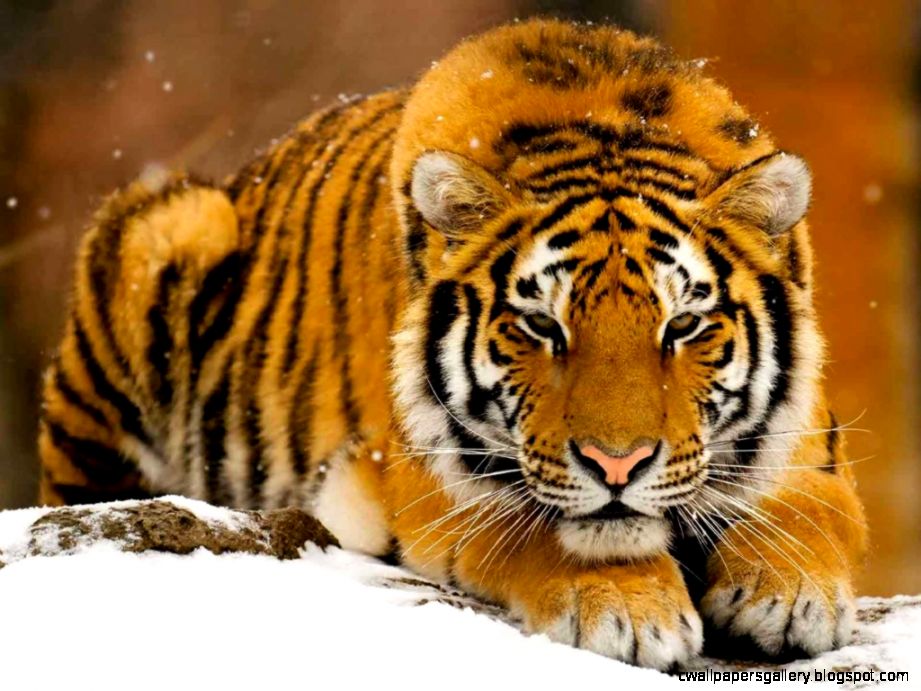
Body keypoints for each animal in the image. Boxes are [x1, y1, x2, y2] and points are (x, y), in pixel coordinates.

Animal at [37, 19, 867, 669]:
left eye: (682, 325)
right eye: (541, 325)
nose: (617, 465)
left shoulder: (808, 443)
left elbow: (809, 509)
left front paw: (788, 593)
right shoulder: (426, 473)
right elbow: (540, 523)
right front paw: (628, 608)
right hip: (166, 230)